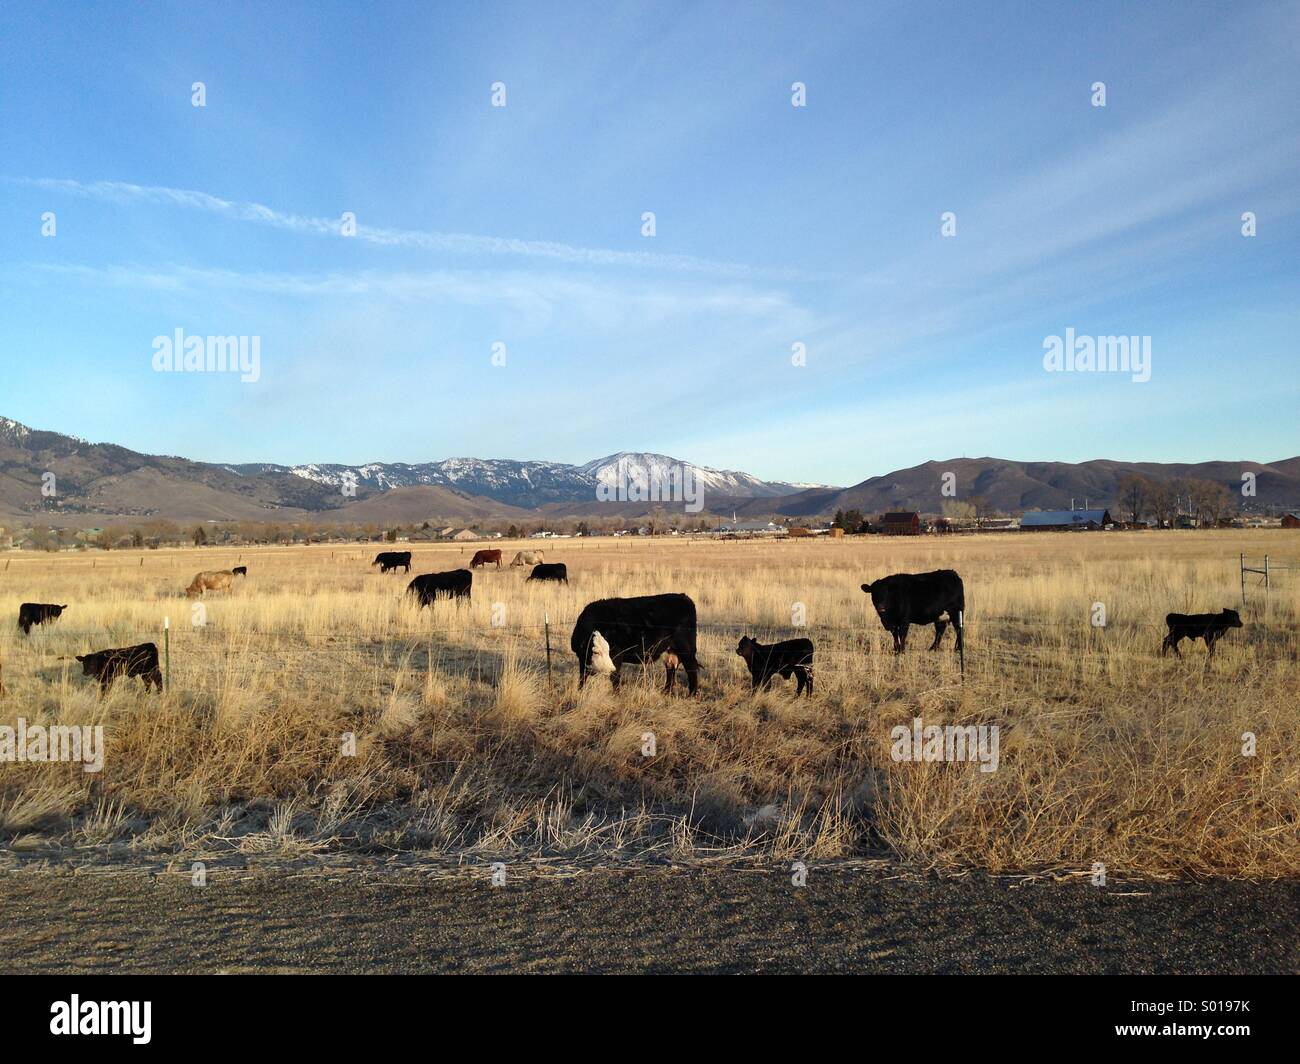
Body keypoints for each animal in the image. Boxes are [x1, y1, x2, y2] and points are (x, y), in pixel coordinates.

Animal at [571, 593, 700, 694]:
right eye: (596, 651)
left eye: (608, 649)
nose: (611, 668)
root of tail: (684, 597)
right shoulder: (582, 659)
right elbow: (582, 677)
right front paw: (580, 691)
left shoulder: (617, 654)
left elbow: (615, 677)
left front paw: (616, 695)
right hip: (669, 649)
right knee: (671, 667)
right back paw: (666, 692)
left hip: (686, 648)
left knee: (691, 668)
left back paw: (692, 694)